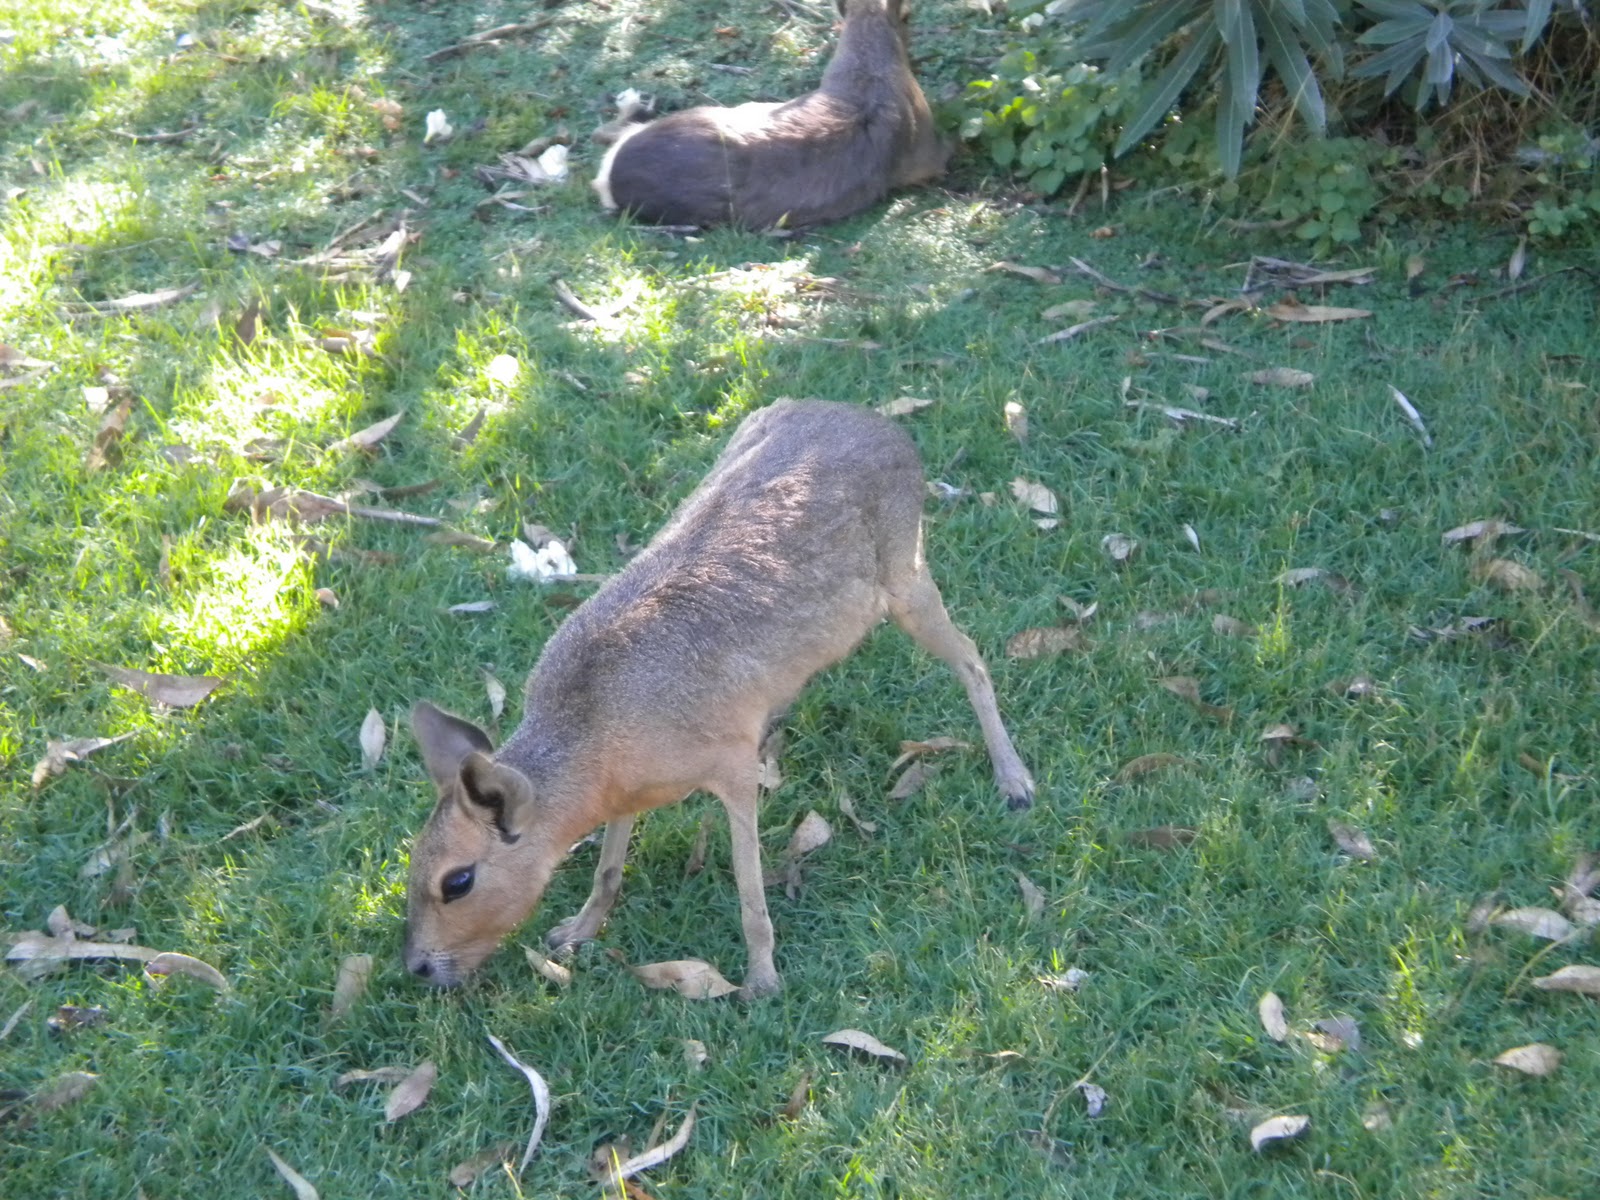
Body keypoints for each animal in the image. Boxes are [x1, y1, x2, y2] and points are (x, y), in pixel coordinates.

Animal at [404, 399, 1034, 998]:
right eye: (411, 864)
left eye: (457, 882)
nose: (415, 968)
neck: (596, 724)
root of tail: (881, 424)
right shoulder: (628, 790)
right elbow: (607, 867)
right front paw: (577, 932)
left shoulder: (733, 766)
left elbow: (749, 892)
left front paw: (761, 981)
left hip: (907, 580)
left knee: (973, 659)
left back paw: (1015, 781)